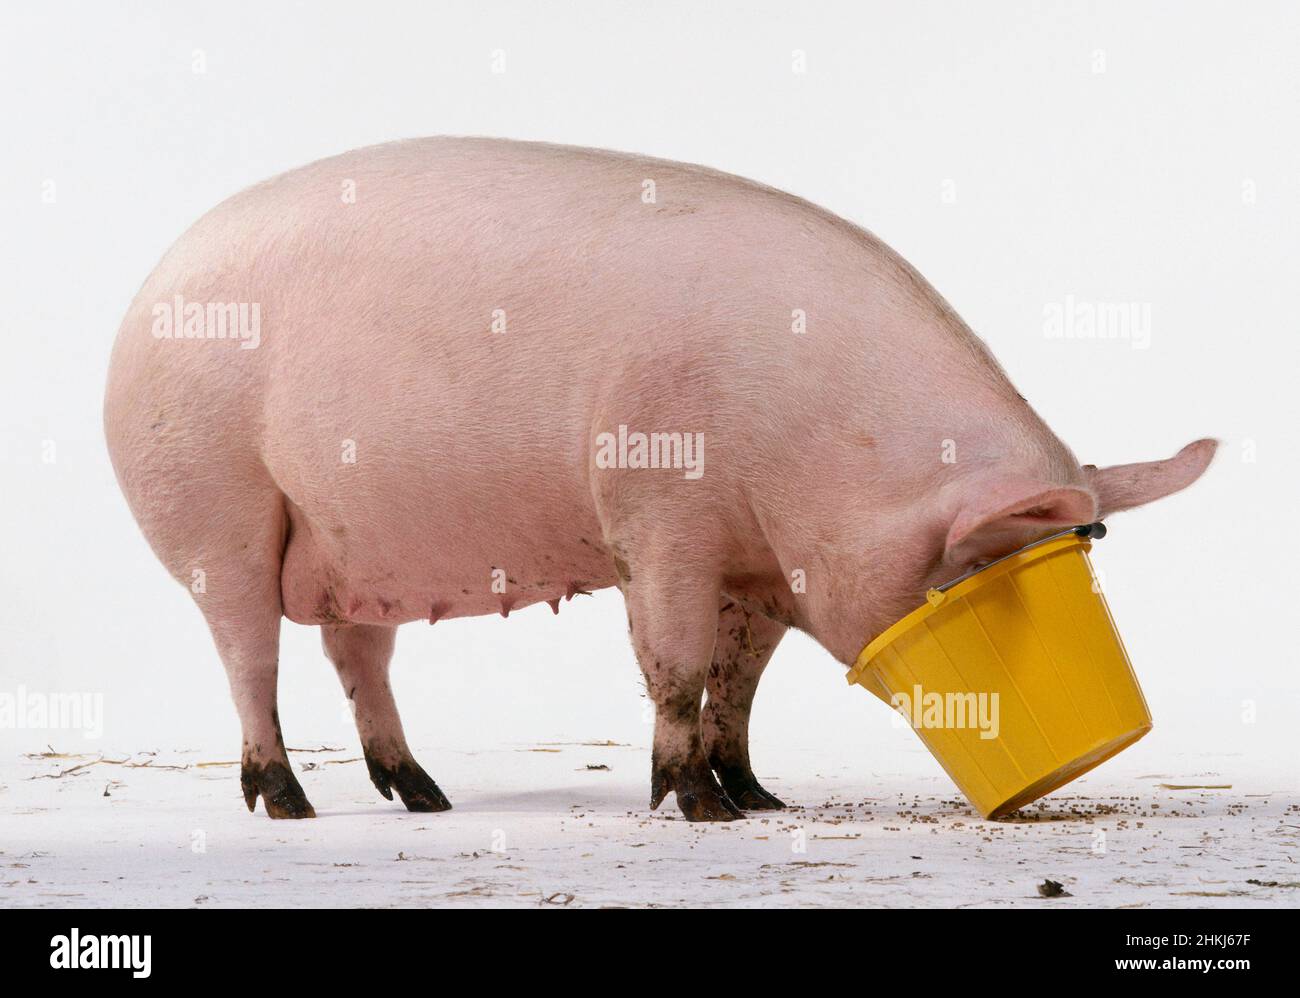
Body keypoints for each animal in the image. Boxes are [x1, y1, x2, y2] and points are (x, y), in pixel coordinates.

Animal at [104, 137, 1216, 821]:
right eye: (974, 573)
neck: (821, 438)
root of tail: (144, 300)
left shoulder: (761, 567)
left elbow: (739, 679)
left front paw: (760, 796)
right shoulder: (656, 513)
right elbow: (673, 661)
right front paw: (702, 807)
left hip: (353, 545)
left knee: (356, 653)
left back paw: (422, 794)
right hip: (213, 510)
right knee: (247, 654)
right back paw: (288, 801)